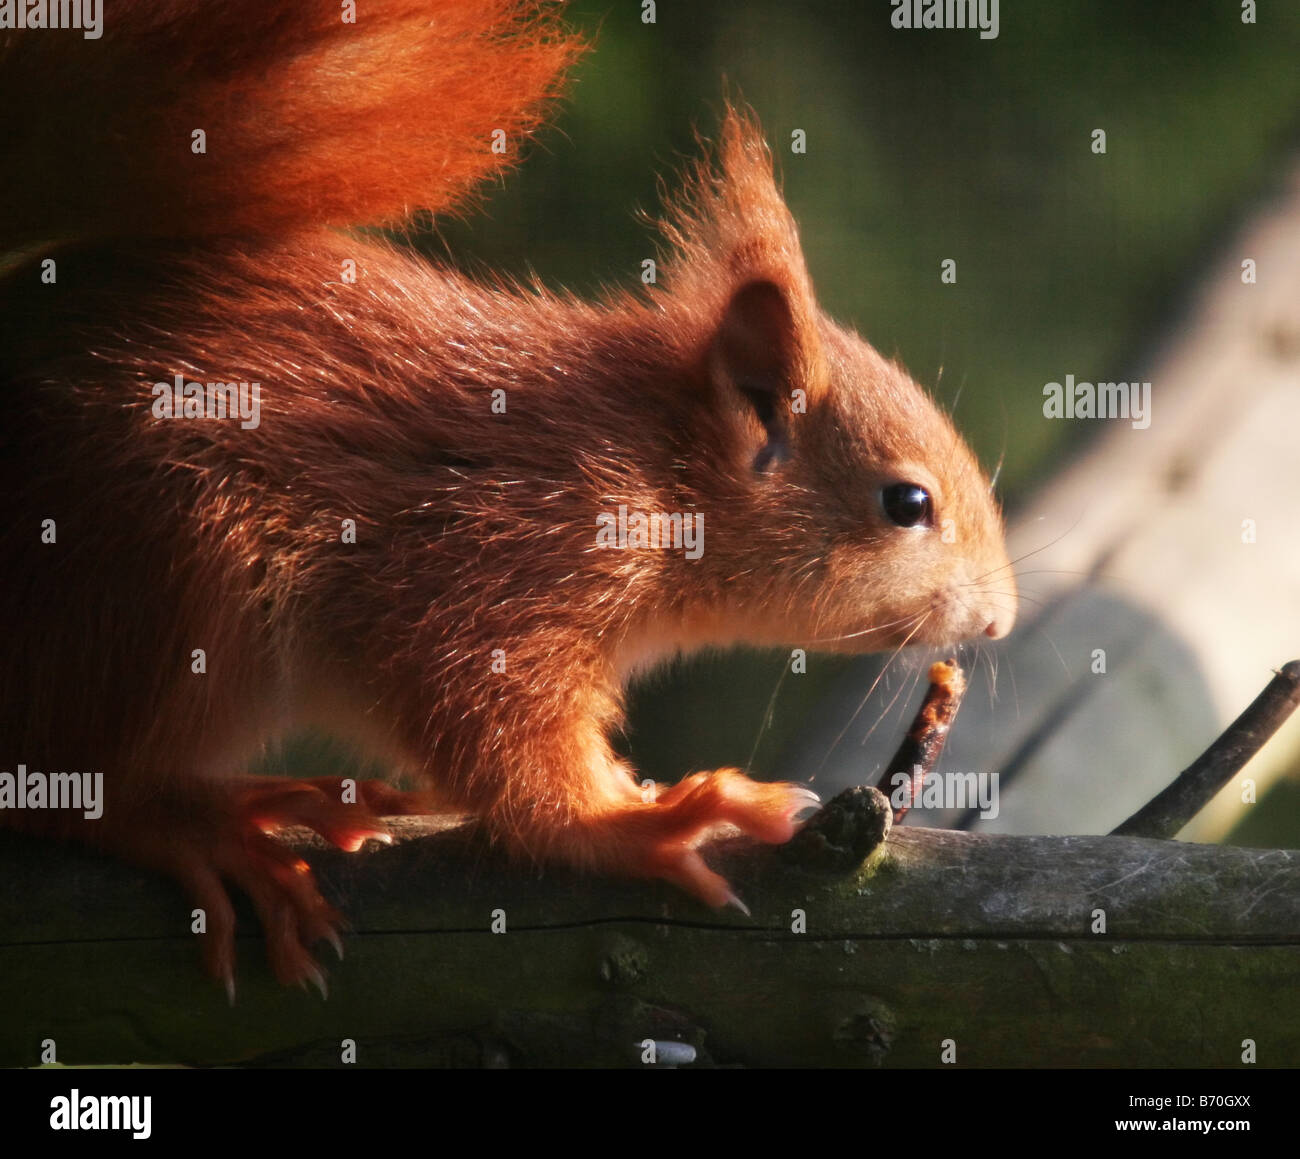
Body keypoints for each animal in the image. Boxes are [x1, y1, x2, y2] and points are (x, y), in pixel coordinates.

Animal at [0, 0, 1016, 996]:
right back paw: (209, 825)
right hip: (160, 571)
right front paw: (638, 824)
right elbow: (496, 741)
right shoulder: (500, 563)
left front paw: (638, 792)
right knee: (63, 780)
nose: (1002, 618)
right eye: (907, 503)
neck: (654, 470)